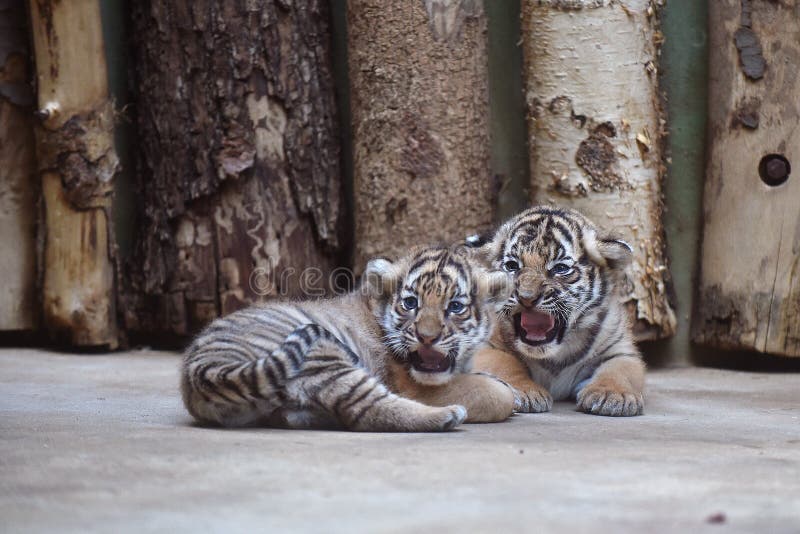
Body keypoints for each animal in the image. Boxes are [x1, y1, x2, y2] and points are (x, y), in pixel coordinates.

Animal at [180, 245, 515, 432]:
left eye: (455, 307)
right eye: (410, 303)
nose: (427, 337)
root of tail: (199, 366)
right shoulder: (411, 386)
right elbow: (497, 394)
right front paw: (504, 393)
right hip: (325, 355)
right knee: (367, 411)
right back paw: (447, 416)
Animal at [468, 206, 645, 417]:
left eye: (560, 268)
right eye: (512, 266)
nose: (526, 297)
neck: (554, 357)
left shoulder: (620, 350)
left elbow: (619, 370)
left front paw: (612, 395)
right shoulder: (484, 346)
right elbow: (505, 364)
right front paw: (527, 392)